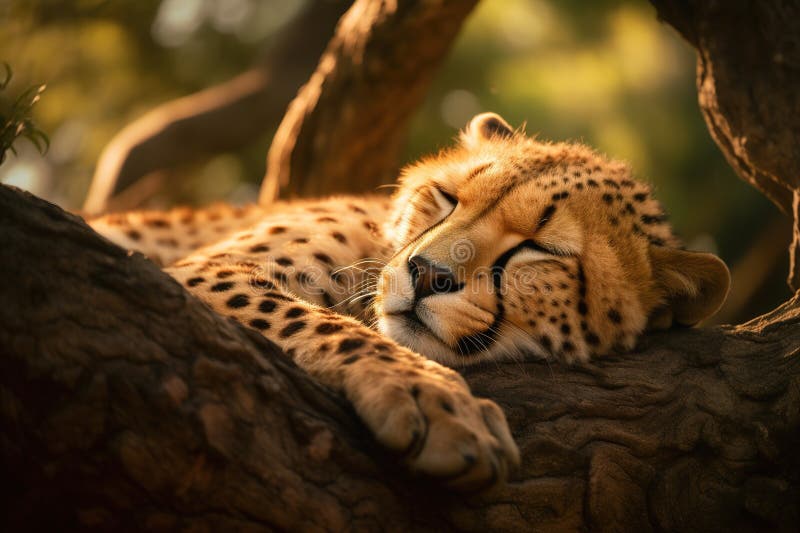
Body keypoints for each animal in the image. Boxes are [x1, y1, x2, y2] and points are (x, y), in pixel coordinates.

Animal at [88, 112, 730, 490]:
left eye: (538, 249)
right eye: (446, 197)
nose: (426, 274)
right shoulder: (205, 271)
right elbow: (332, 325)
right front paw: (438, 405)